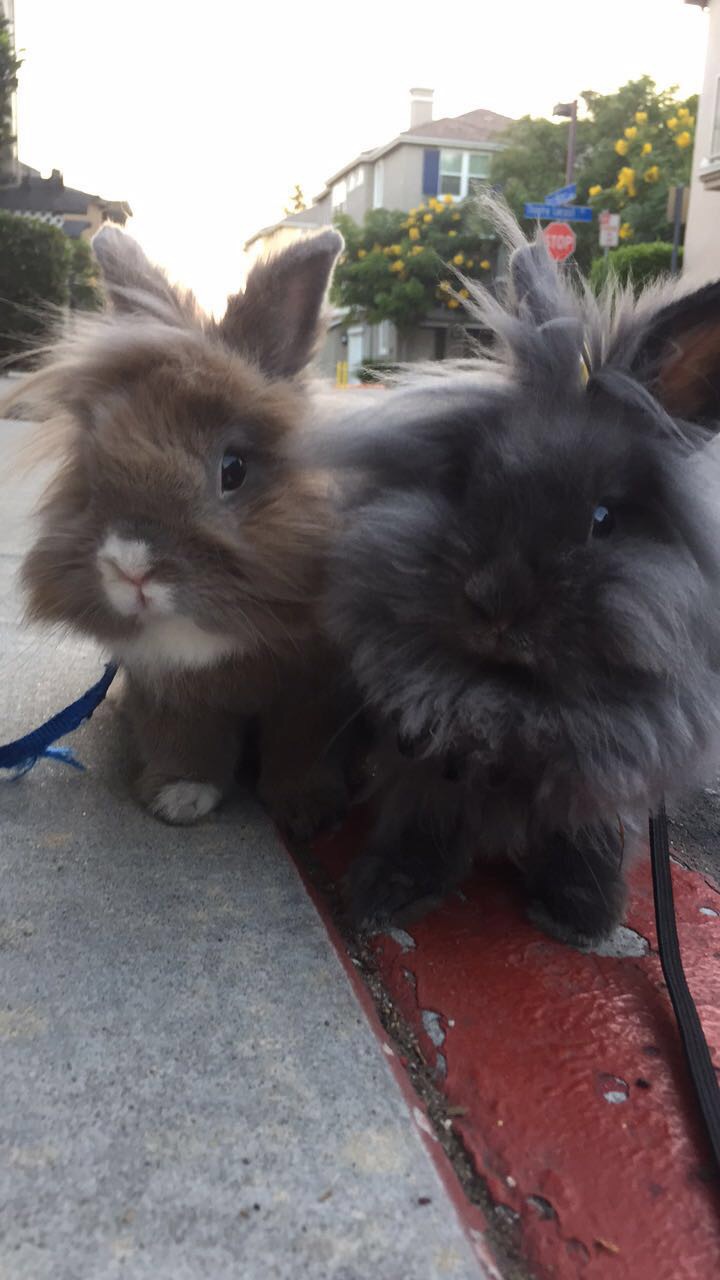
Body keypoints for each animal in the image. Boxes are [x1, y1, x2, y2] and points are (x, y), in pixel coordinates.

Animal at [10, 223, 355, 838]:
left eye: (233, 469)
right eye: (92, 471)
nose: (131, 566)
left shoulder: (314, 691)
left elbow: (302, 746)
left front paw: (308, 811)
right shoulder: (167, 694)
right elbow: (183, 745)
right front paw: (177, 799)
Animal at [310, 204, 720, 945]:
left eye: (603, 519)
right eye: (468, 483)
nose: (495, 601)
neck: (510, 705)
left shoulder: (600, 784)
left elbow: (585, 844)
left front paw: (583, 915)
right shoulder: (424, 764)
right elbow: (420, 828)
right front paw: (384, 896)